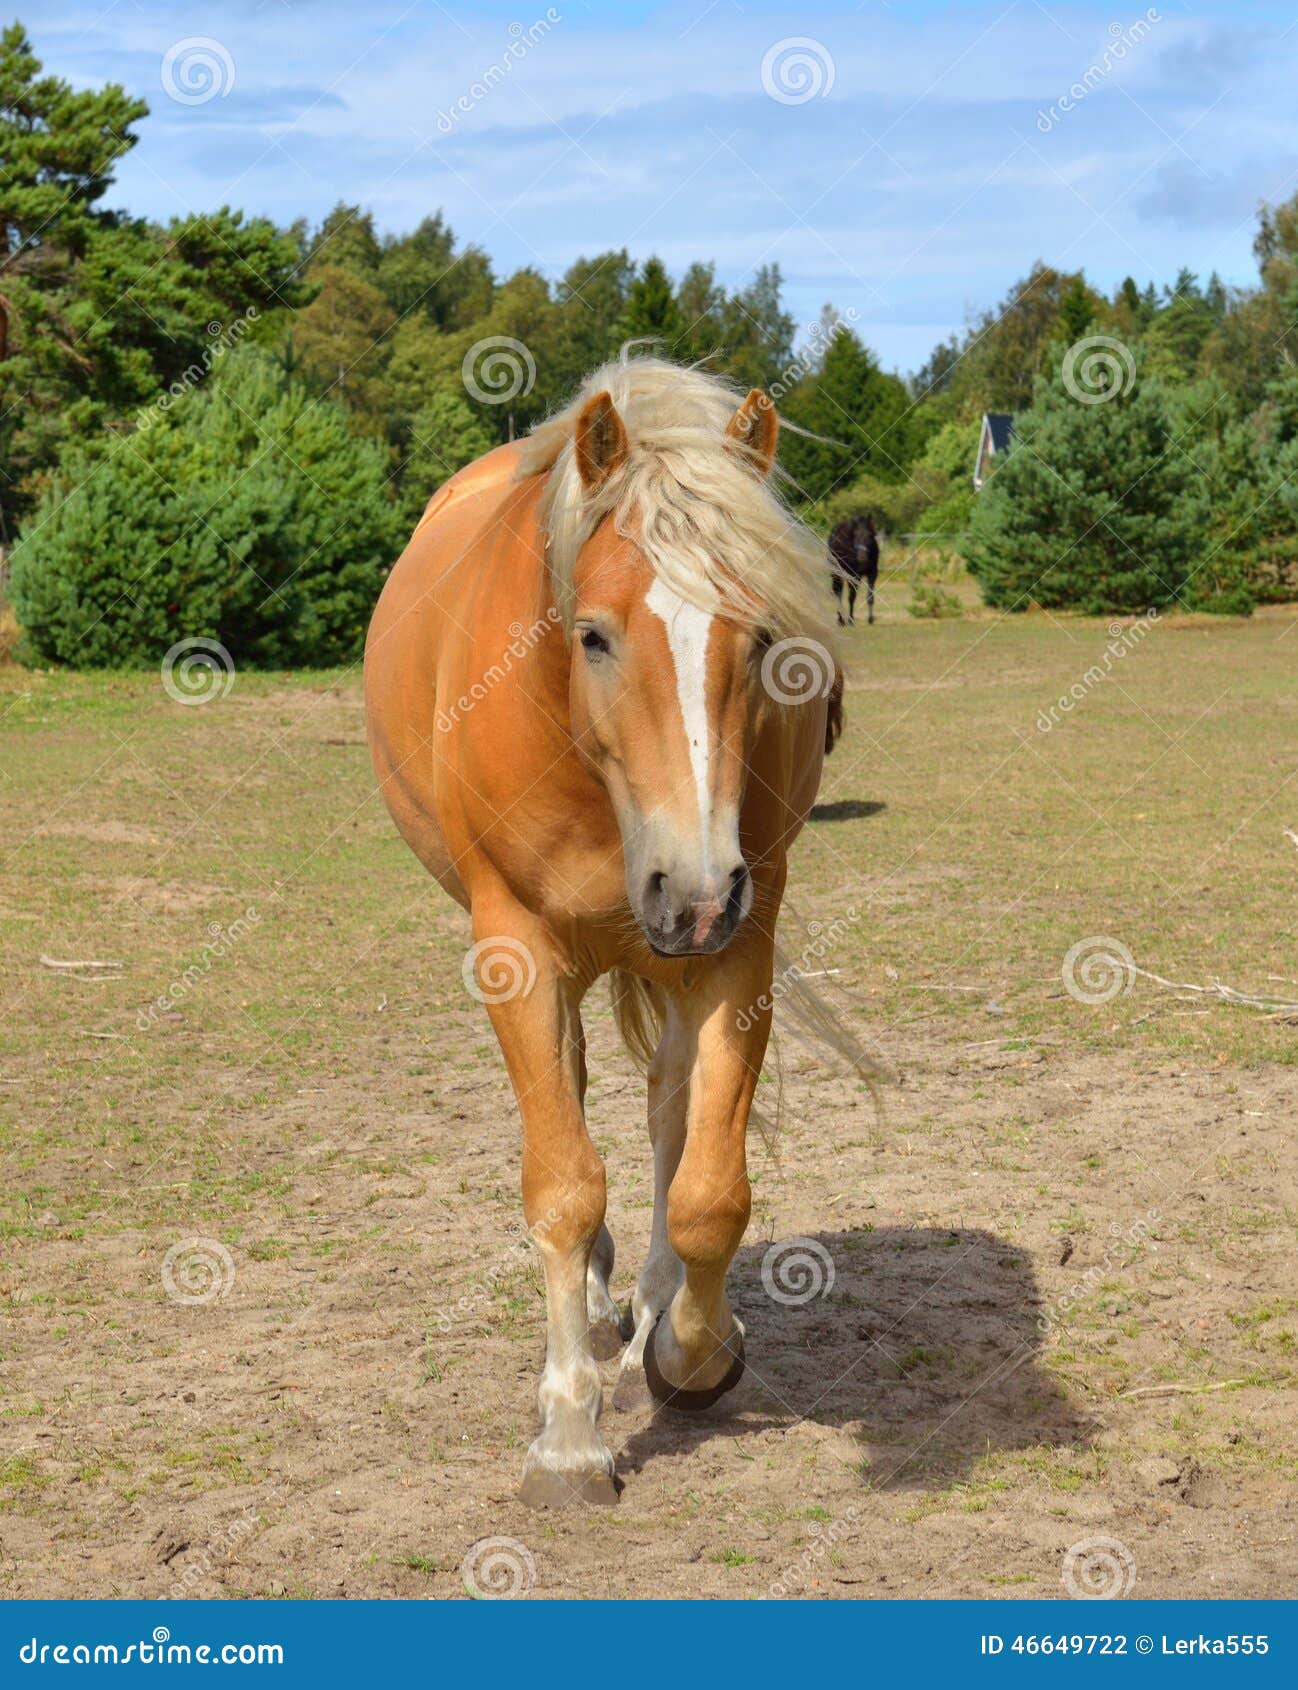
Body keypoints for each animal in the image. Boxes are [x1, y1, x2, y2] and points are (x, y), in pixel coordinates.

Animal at [364, 355, 844, 1508]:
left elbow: (709, 1189)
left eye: (765, 638)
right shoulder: (518, 948)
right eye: (591, 633)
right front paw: (568, 1435)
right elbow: (562, 1181)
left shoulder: (738, 943)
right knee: (577, 1094)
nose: (696, 888)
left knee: (670, 1114)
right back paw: (589, 1311)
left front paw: (689, 1354)